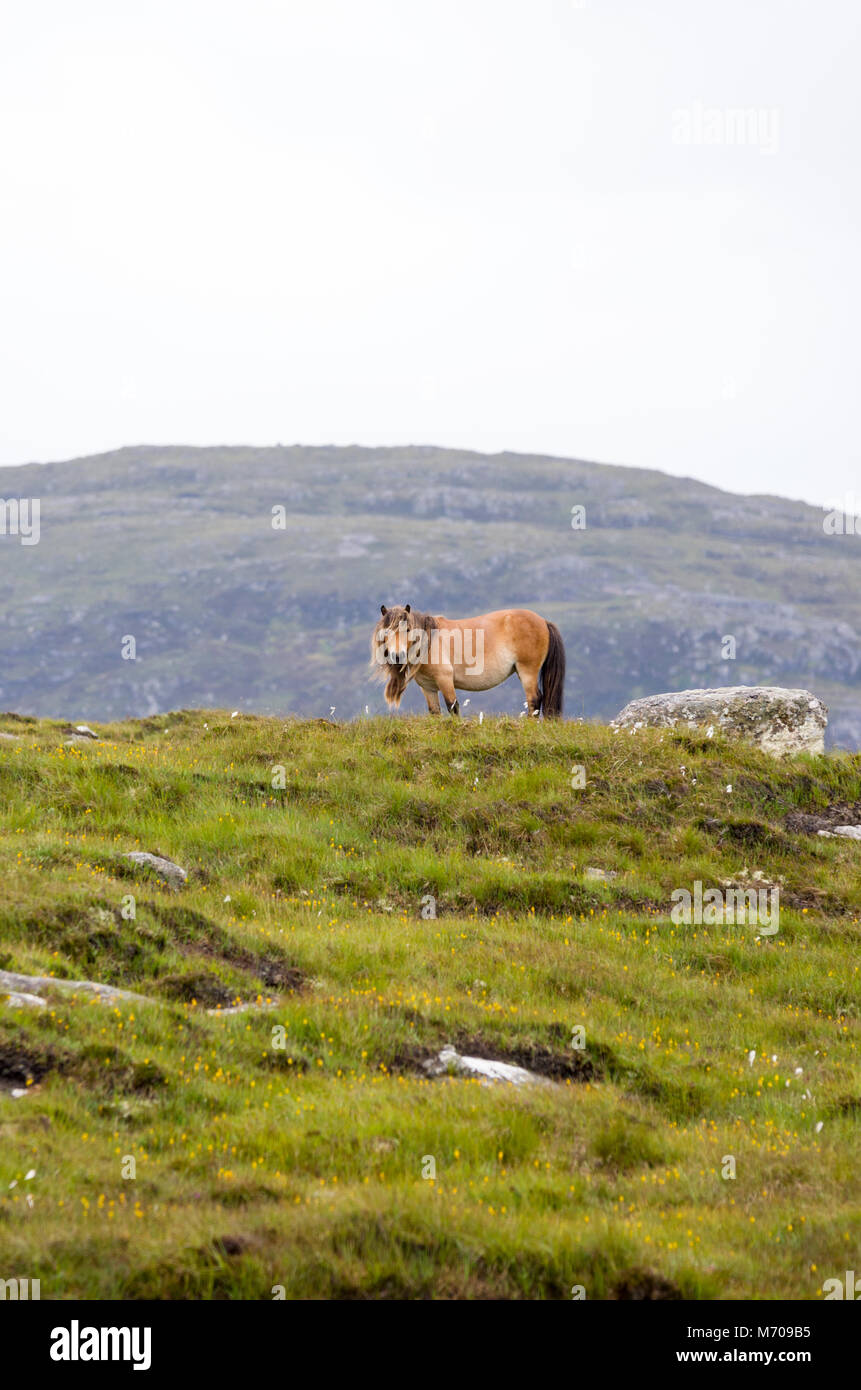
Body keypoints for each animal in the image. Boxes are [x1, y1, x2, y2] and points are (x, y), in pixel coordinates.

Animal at [370, 604, 565, 717]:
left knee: (534, 700)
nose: (397, 656)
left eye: (408, 629)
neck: (428, 642)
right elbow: (435, 712)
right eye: (386, 631)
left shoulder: (445, 679)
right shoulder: (428, 687)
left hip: (527, 672)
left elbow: (453, 707)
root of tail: (543, 621)